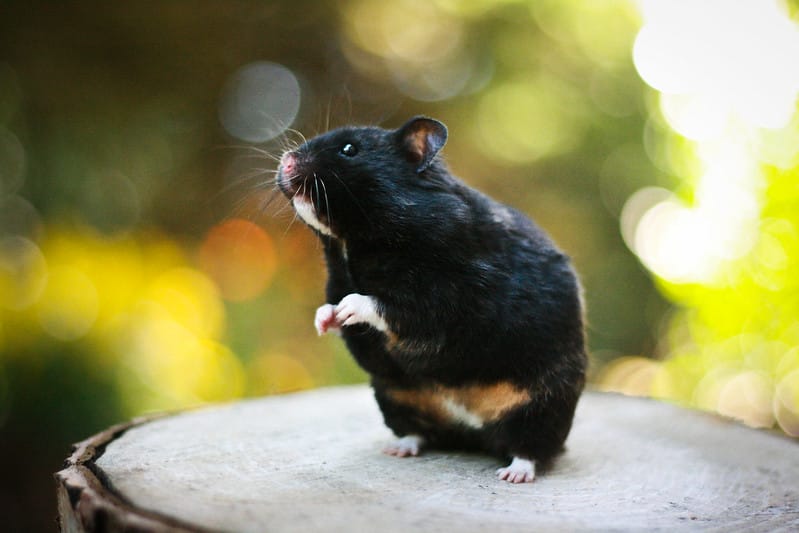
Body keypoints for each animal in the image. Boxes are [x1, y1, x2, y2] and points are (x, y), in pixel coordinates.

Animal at [276, 116, 586, 483]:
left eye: (349, 149)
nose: (285, 161)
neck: (350, 243)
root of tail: (471, 432)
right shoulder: (338, 281)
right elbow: (333, 309)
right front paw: (323, 321)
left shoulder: (452, 295)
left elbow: (386, 305)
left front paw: (350, 307)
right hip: (394, 398)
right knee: (419, 432)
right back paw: (398, 449)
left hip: (544, 404)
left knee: (531, 446)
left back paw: (515, 474)